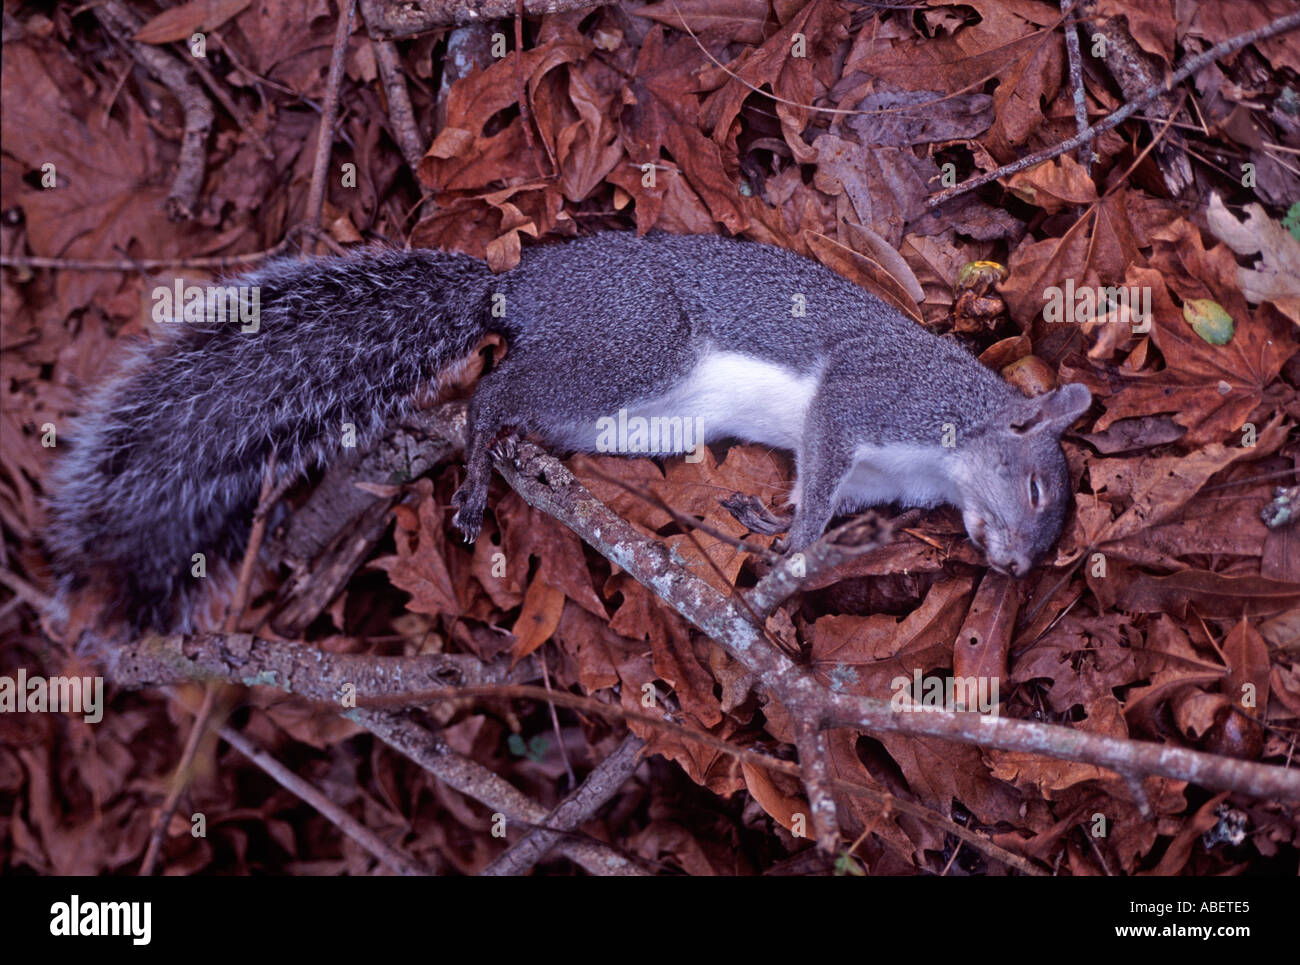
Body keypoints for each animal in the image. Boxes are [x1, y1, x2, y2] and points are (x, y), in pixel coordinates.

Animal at [44, 231, 1091, 633]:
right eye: (1039, 487)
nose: (1011, 565)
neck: (951, 453)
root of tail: (520, 290)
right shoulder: (879, 396)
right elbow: (826, 442)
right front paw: (797, 546)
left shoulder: (868, 471)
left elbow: (818, 485)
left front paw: (773, 524)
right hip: (636, 345)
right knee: (492, 391)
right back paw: (473, 469)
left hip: (625, 412)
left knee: (524, 402)